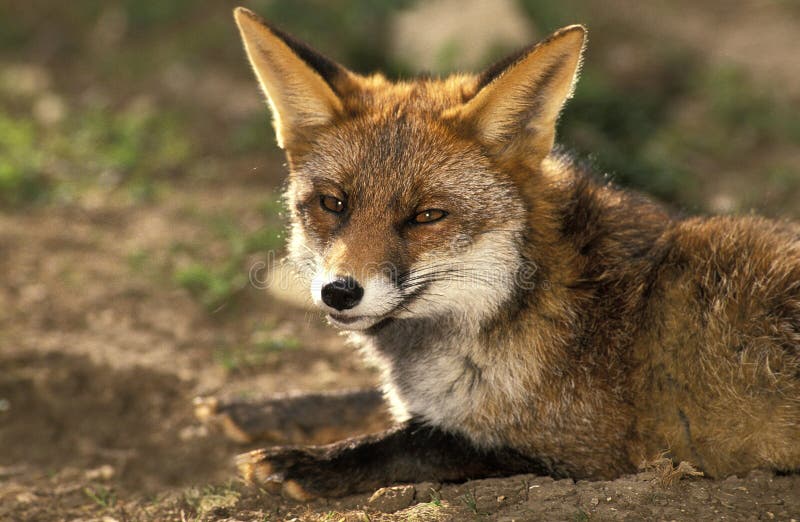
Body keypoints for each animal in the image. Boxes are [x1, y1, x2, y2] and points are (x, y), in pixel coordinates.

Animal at [199, 7, 800, 500]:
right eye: (333, 203)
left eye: (427, 216)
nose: (339, 293)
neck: (522, 301)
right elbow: (364, 396)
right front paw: (258, 406)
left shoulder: (585, 451)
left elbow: (414, 443)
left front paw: (307, 462)